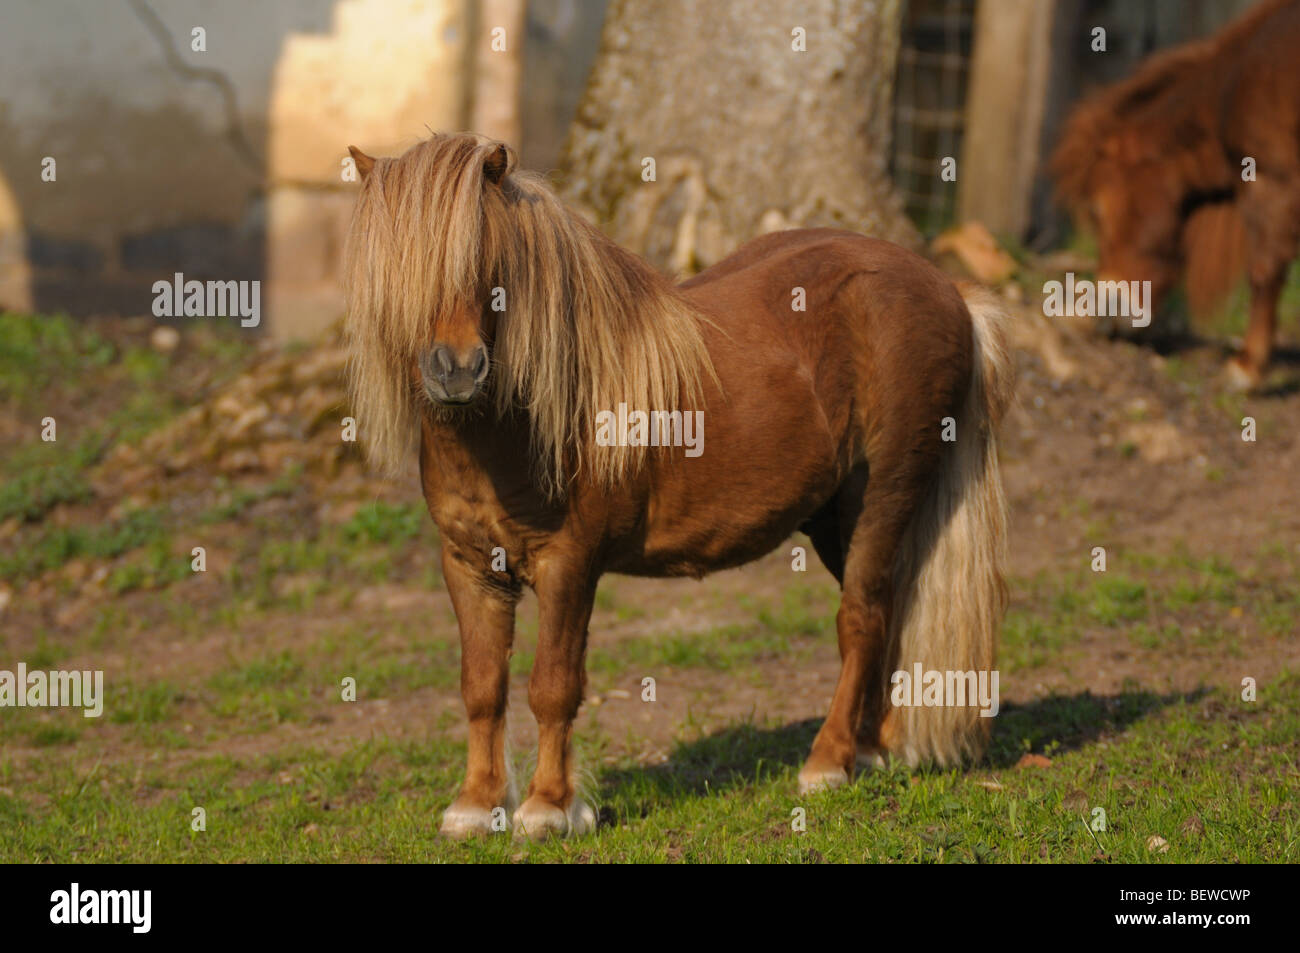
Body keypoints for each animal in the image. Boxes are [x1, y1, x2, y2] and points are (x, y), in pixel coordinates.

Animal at [342, 132, 1014, 839]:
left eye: (489, 259)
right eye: (394, 268)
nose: (457, 371)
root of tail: (948, 289)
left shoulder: (568, 566)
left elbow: (552, 685)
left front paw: (550, 806)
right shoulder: (470, 567)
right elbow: (481, 687)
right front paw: (476, 805)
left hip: (881, 499)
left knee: (859, 620)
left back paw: (828, 763)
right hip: (836, 522)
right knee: (888, 614)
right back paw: (873, 749)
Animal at [1051, 0, 1300, 392]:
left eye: (1096, 211)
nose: (1105, 316)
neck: (1232, 89)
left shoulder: (1274, 185)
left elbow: (1264, 271)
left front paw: (1246, 367)